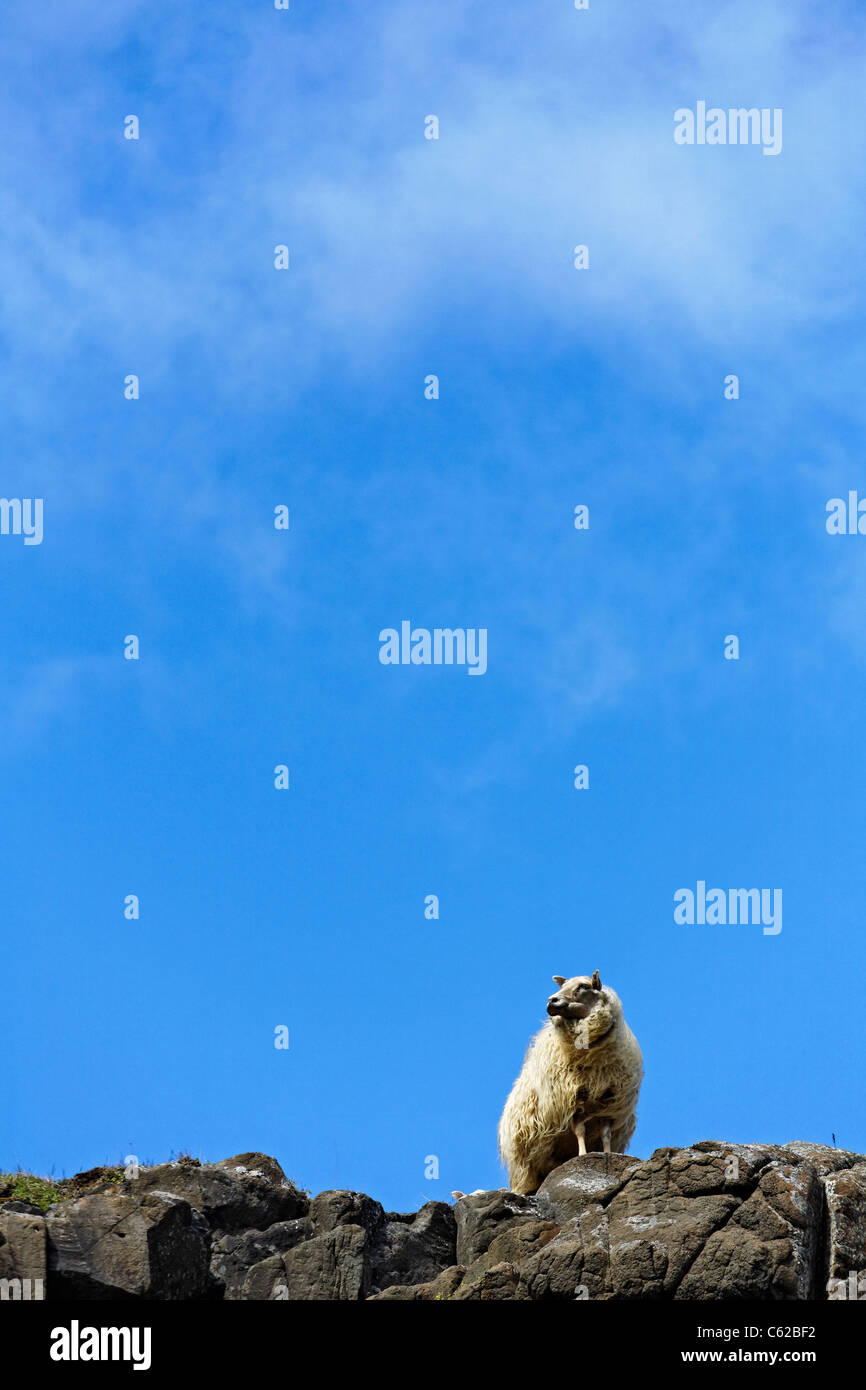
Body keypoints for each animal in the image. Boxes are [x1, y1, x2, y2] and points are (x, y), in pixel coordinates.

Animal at [497, 971, 643, 1195]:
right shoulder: (573, 1105)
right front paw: (582, 1155)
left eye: (584, 986)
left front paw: (608, 1155)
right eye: (563, 986)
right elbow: (580, 1131)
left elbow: (606, 1135)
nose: (552, 1000)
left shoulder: (608, 1108)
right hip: (523, 1163)